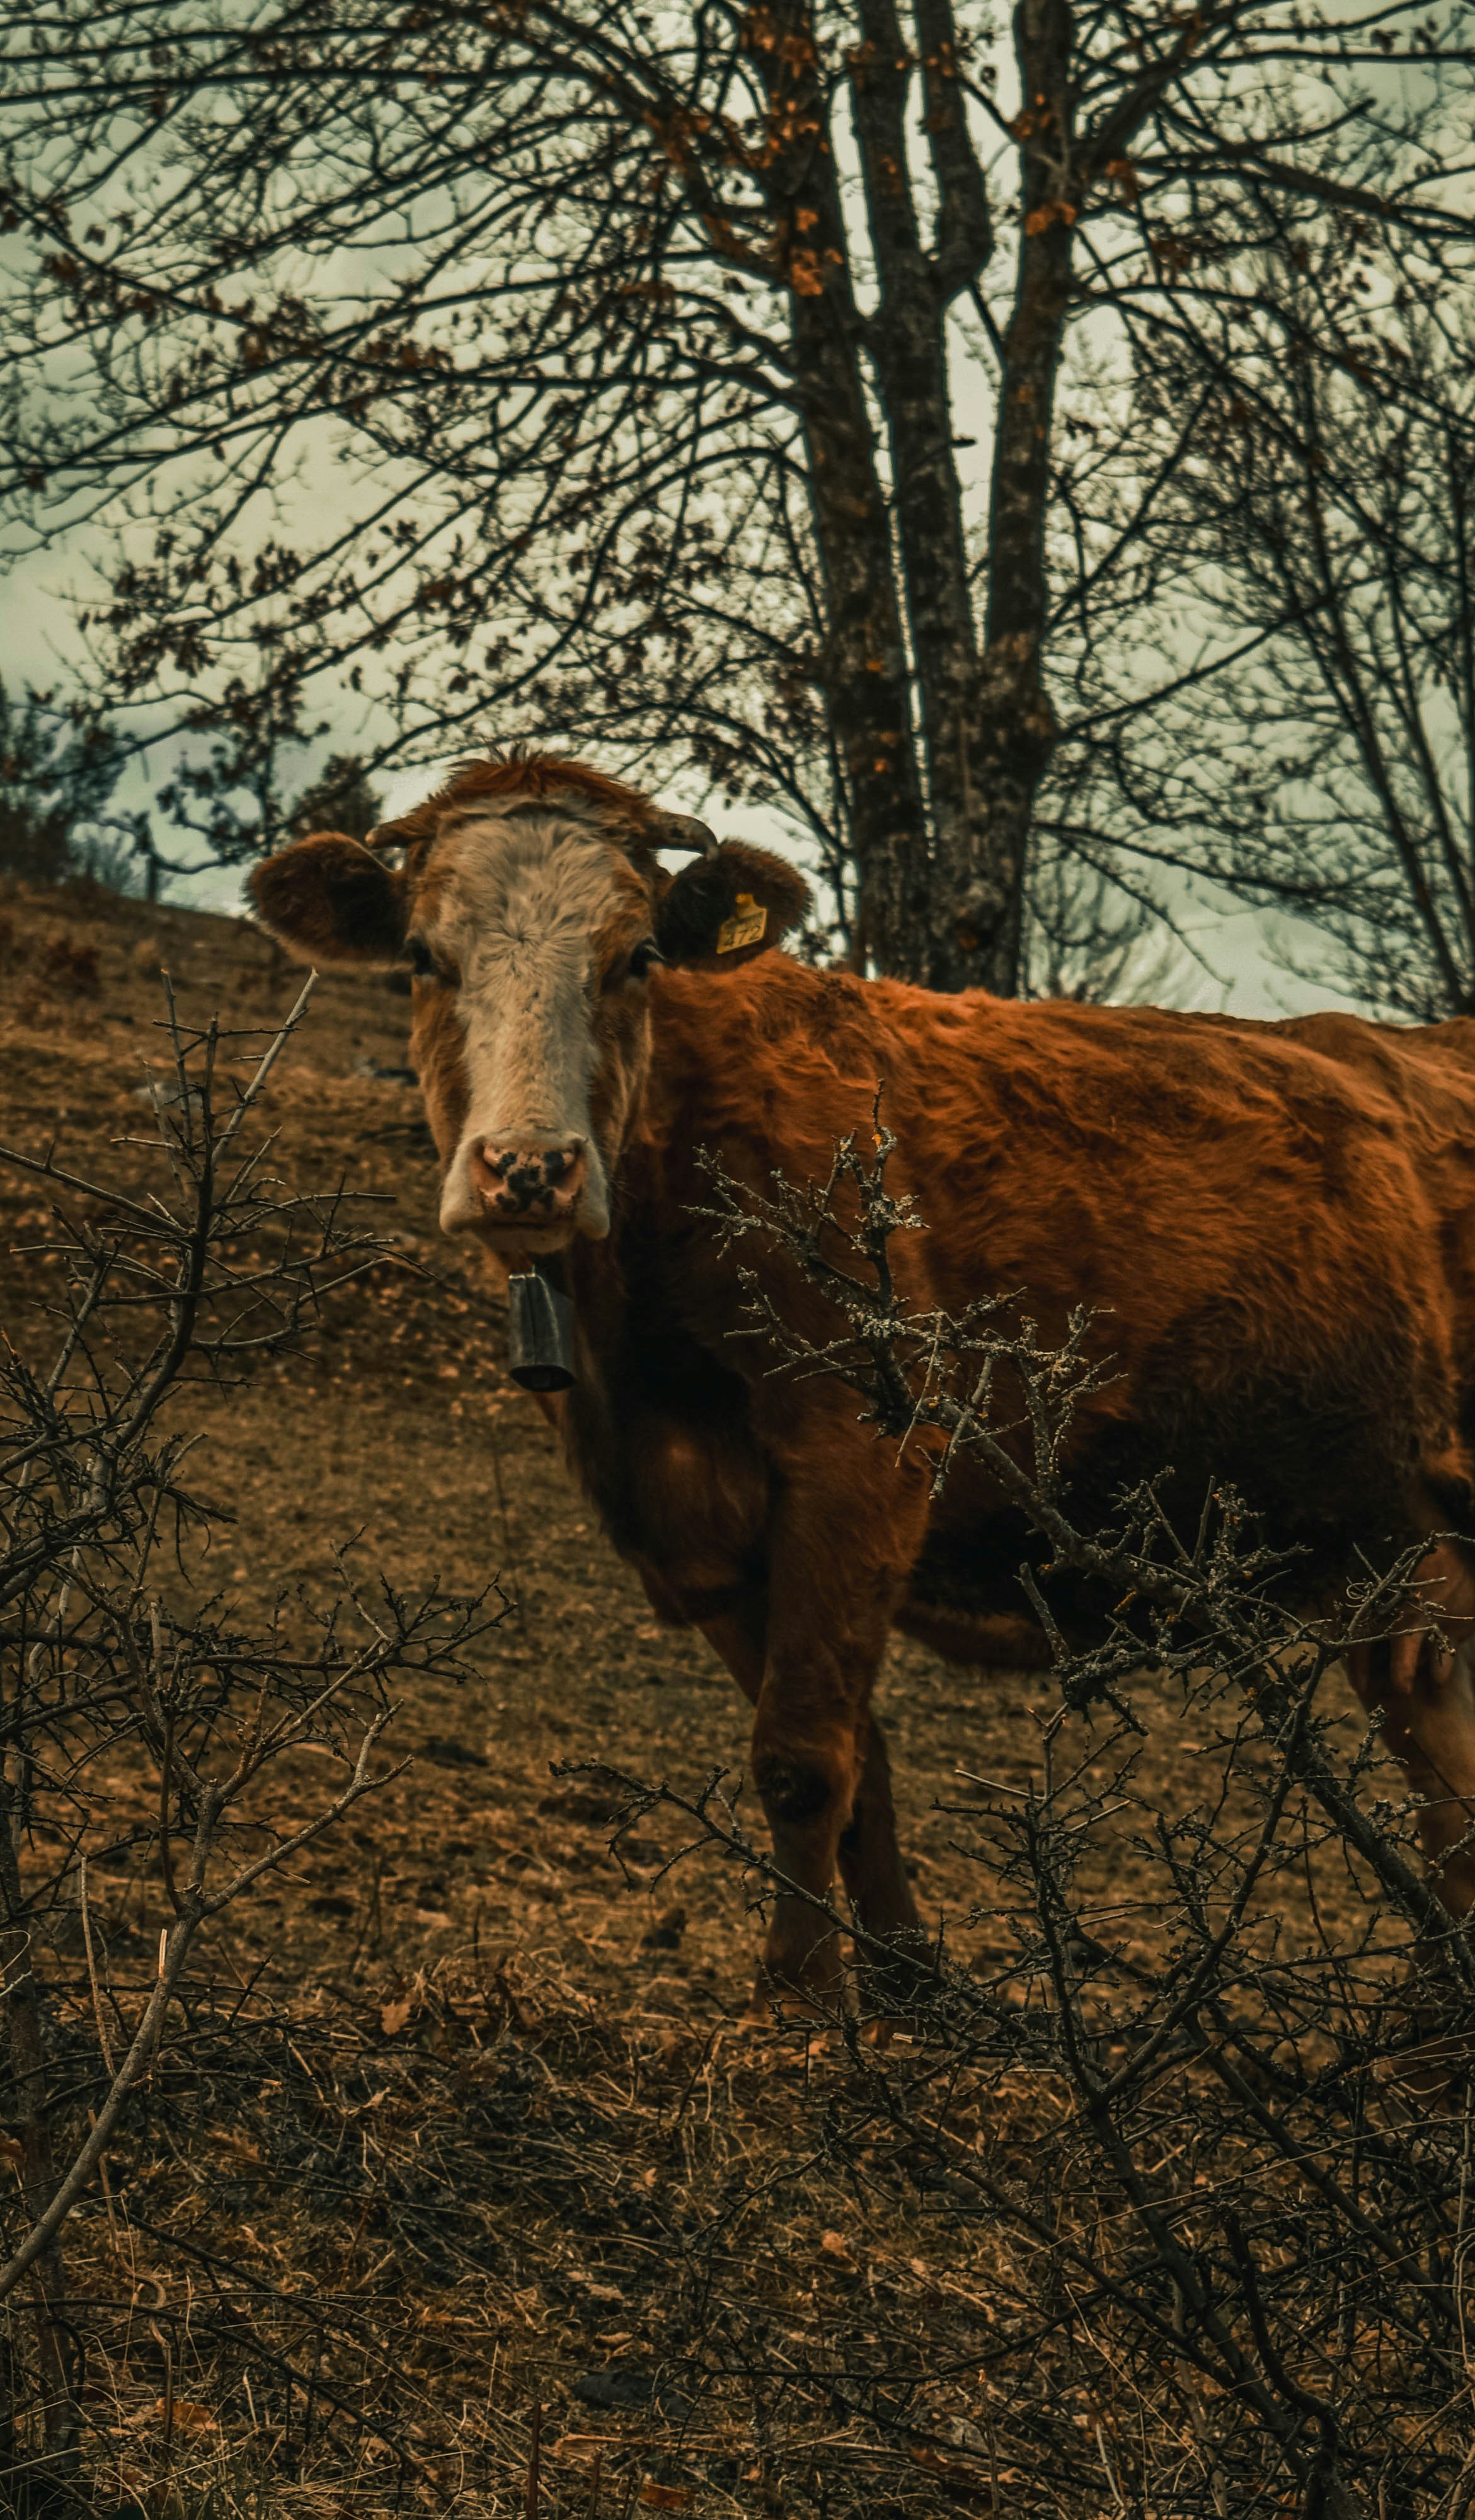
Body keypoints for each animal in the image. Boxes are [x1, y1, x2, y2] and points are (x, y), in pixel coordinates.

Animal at [251, 751, 1475, 2007]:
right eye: (423, 957)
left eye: (635, 958)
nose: (528, 1168)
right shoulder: (694, 1527)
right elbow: (855, 1754)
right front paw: (902, 1985)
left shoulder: (862, 1458)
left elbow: (799, 1754)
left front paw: (802, 1993)